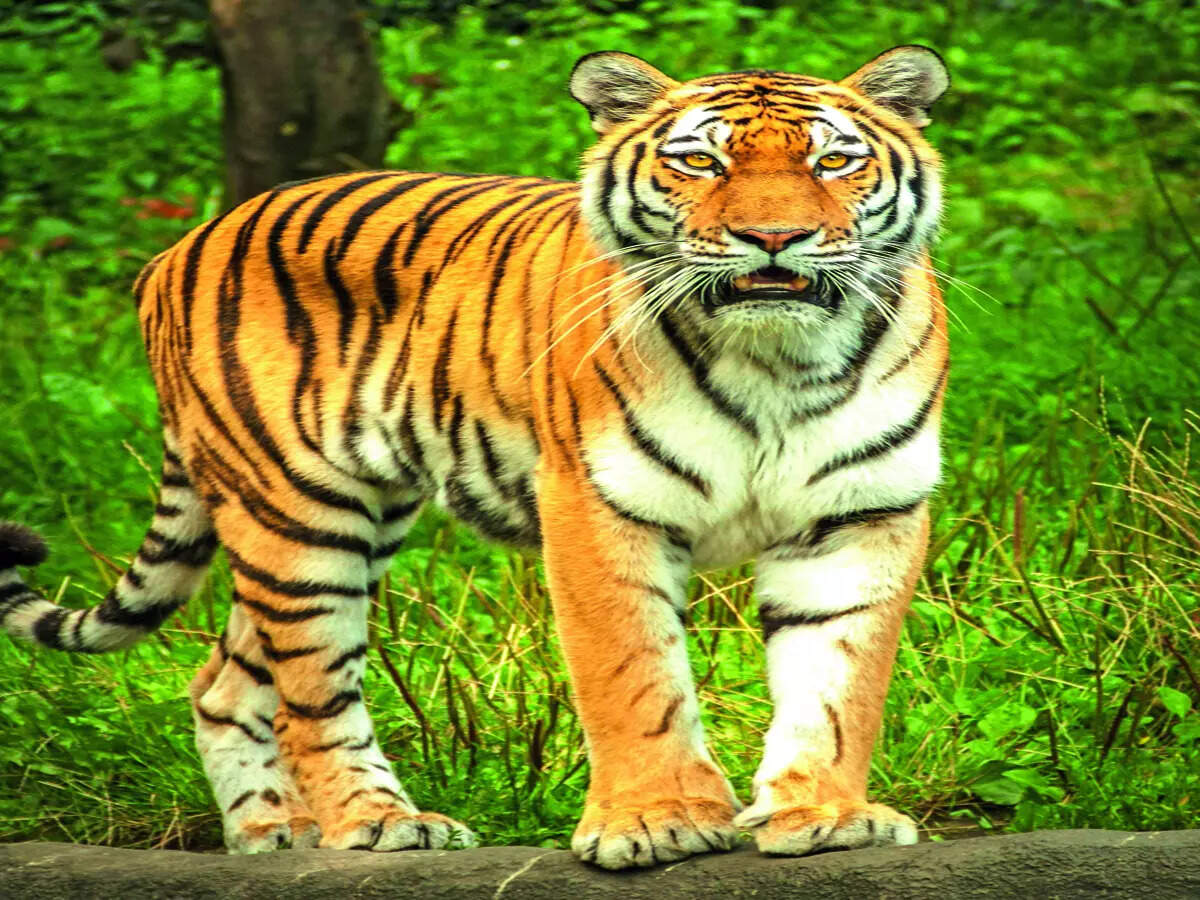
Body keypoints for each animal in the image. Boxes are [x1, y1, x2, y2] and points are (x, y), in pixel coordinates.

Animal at [0, 46, 950, 868]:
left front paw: (826, 814)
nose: (774, 238)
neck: (777, 360)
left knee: (226, 684)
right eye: (701, 164)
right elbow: (633, 675)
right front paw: (656, 822)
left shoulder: (861, 514)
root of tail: (183, 243)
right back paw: (379, 824)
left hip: (345, 519)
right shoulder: (597, 505)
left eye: (833, 162)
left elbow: (841, 683)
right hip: (298, 513)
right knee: (312, 693)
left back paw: (272, 834)